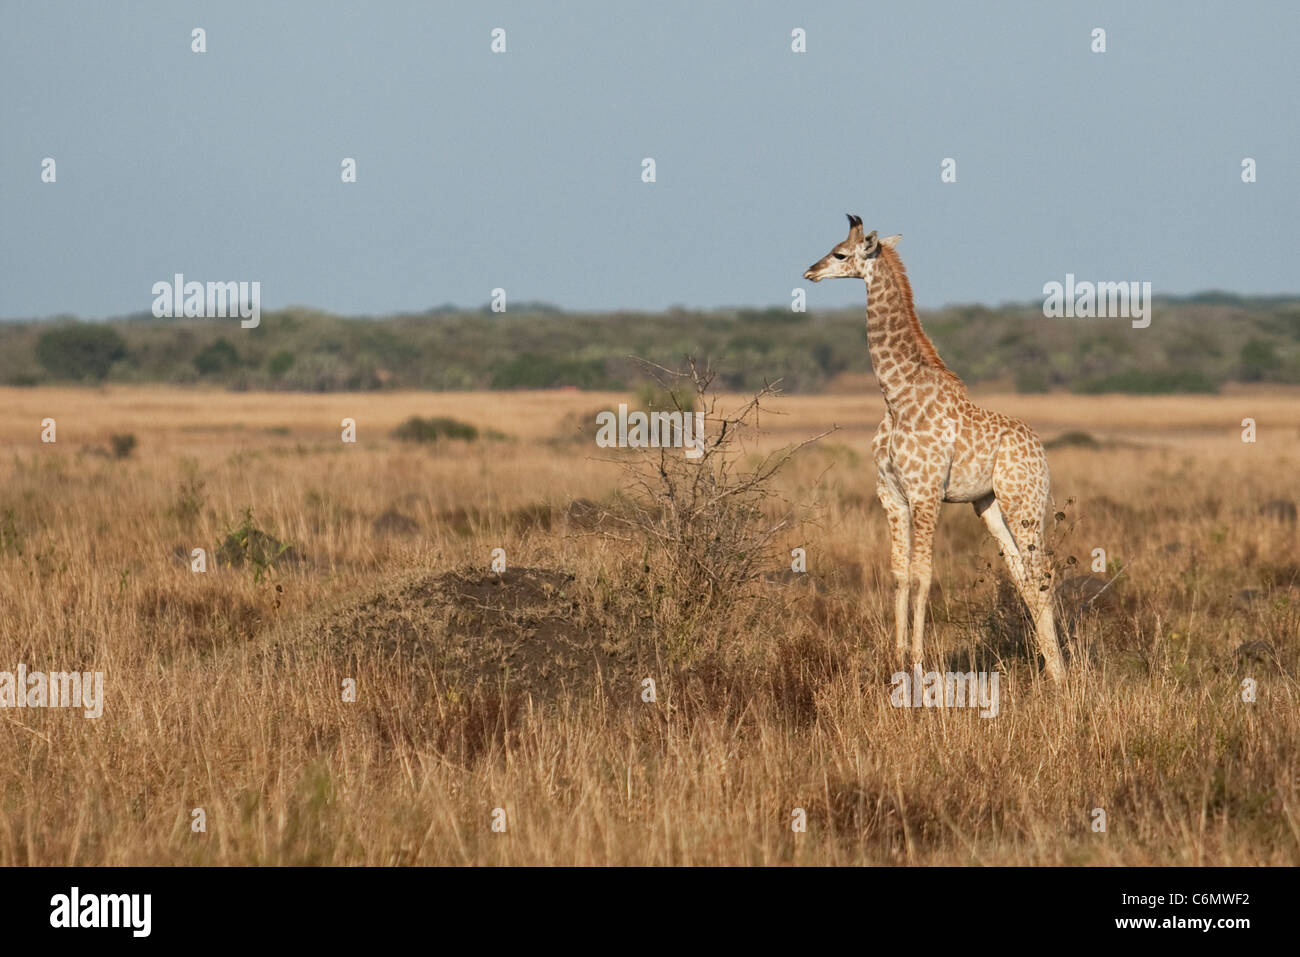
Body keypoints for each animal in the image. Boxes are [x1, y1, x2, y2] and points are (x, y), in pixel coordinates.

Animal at [804, 215, 1066, 682]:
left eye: (839, 253)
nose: (809, 272)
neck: (896, 396)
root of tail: (1040, 450)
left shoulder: (926, 494)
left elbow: (924, 573)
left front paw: (918, 661)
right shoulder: (891, 494)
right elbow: (899, 572)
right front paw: (895, 656)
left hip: (1025, 502)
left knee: (1042, 575)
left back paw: (1063, 676)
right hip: (988, 505)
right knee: (1021, 575)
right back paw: (1049, 666)